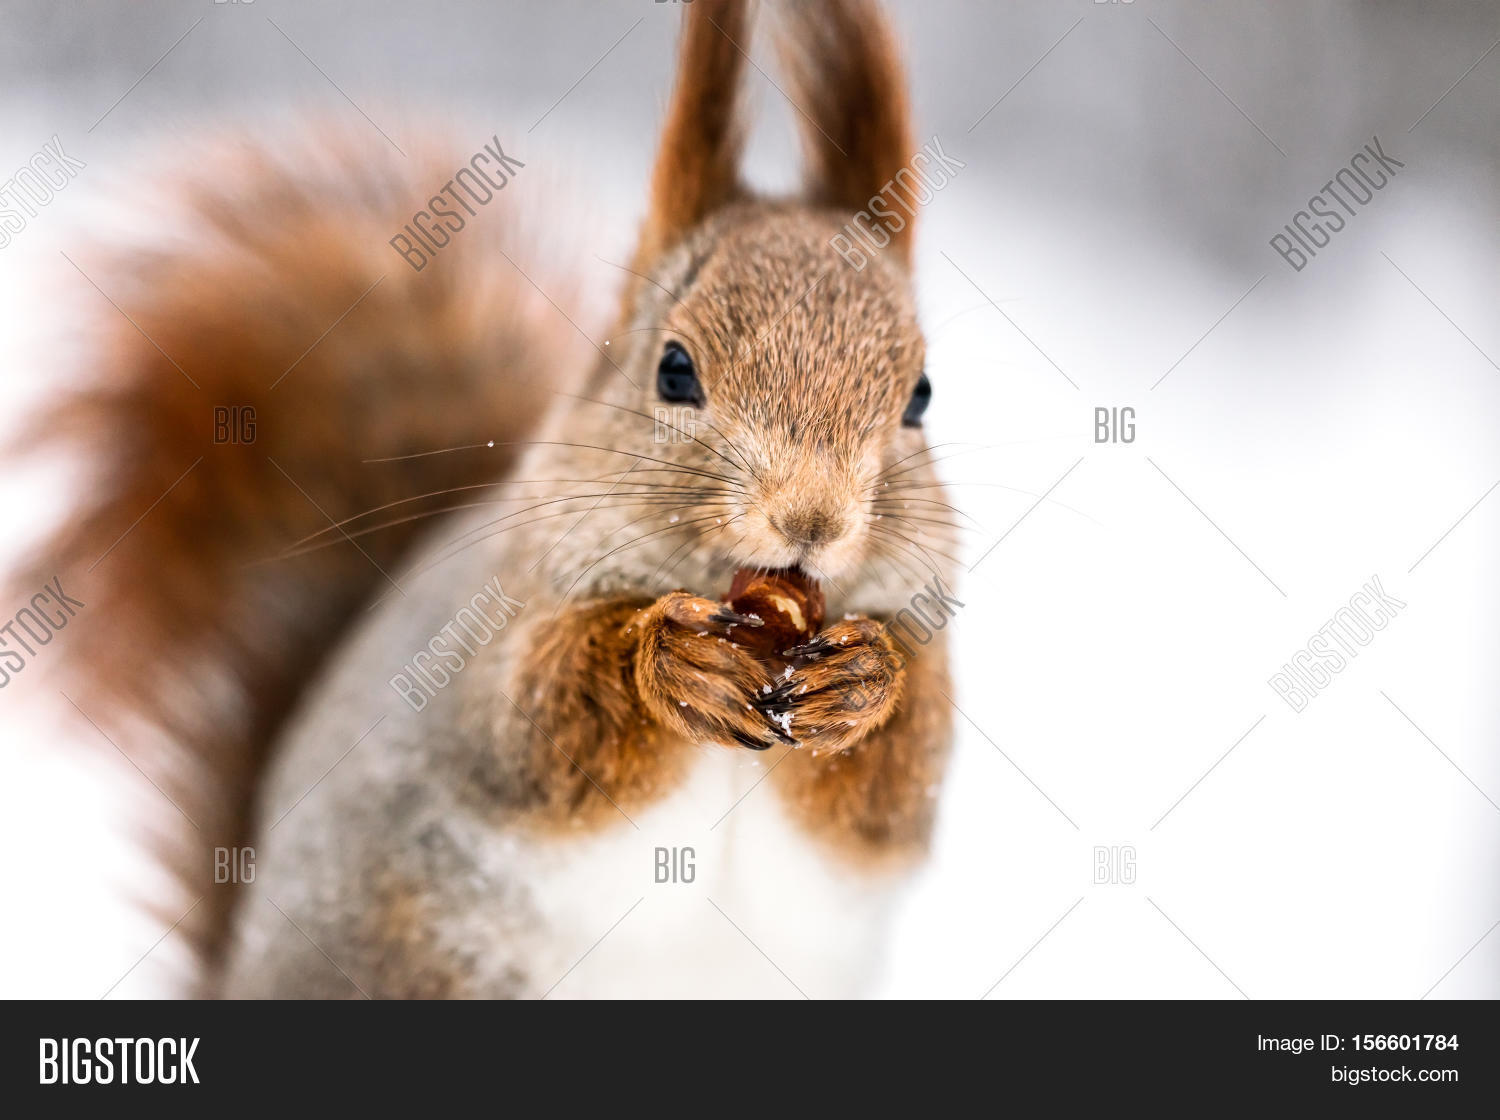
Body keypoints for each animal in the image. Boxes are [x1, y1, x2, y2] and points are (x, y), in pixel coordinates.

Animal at [24, 0, 957, 998]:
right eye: (673, 370)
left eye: (921, 395)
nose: (811, 520)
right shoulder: (475, 651)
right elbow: (538, 730)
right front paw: (669, 662)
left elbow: (891, 799)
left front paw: (865, 680)